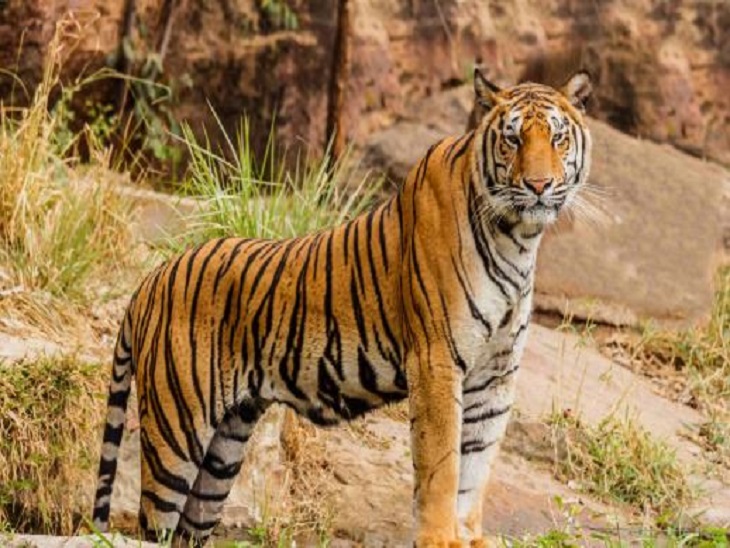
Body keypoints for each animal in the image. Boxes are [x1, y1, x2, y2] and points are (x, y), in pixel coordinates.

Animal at [92, 68, 593, 547]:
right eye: (513, 139)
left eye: (557, 137)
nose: (539, 185)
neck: (518, 239)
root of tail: (150, 279)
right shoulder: (436, 361)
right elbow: (443, 464)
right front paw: (439, 538)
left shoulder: (495, 375)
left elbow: (476, 468)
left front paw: (468, 536)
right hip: (176, 431)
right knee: (153, 522)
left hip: (224, 448)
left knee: (188, 529)